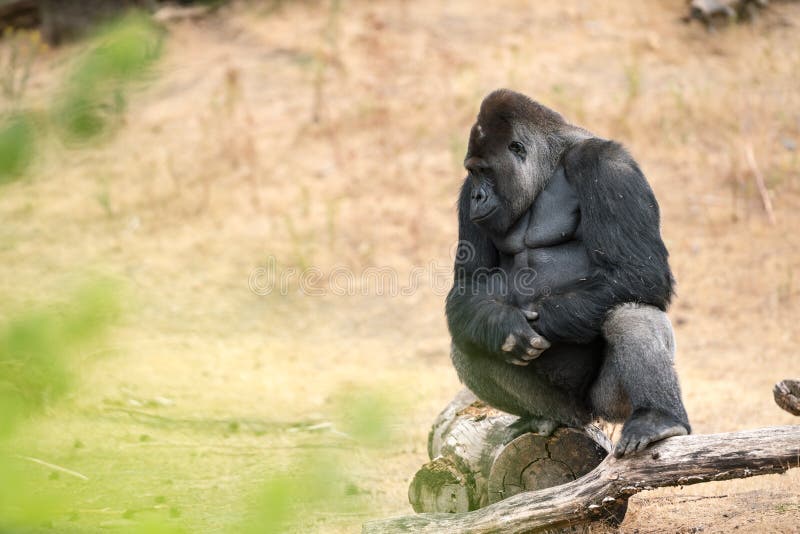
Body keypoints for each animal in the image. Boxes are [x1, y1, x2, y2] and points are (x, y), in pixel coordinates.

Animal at [446, 89, 690, 457]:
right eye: (472, 174)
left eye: (485, 171)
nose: (477, 195)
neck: (550, 165)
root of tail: (585, 415)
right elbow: (468, 287)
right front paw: (504, 325)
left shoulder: (608, 165)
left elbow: (640, 272)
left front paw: (536, 323)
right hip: (566, 408)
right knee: (467, 339)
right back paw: (540, 417)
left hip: (607, 405)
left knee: (630, 312)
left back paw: (658, 418)